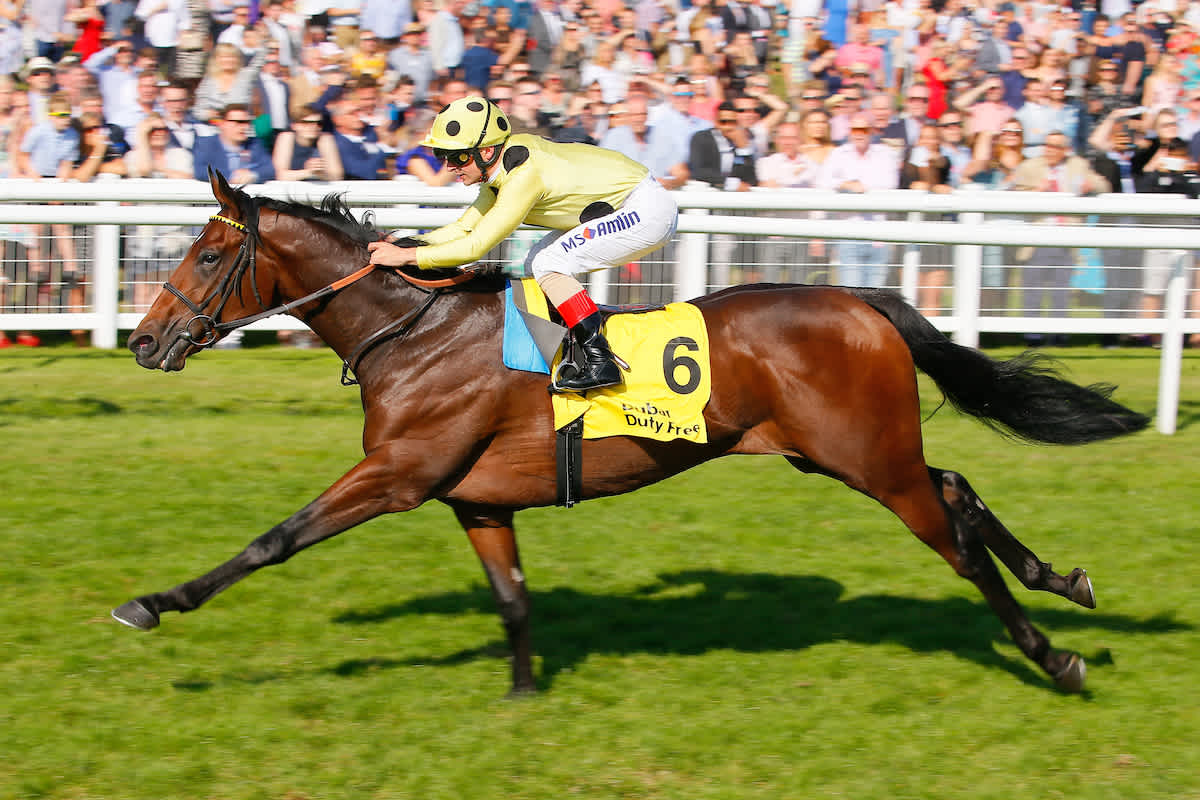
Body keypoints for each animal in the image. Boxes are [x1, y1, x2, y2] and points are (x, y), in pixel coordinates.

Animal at [113, 171, 1149, 695]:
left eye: (206, 253)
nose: (142, 341)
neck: (412, 334)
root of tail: (862, 299)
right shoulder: (475, 500)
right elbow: (514, 599)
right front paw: (524, 694)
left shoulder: (398, 473)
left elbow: (274, 538)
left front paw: (155, 602)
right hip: (846, 453)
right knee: (961, 492)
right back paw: (1064, 581)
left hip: (871, 460)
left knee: (959, 544)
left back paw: (1055, 657)